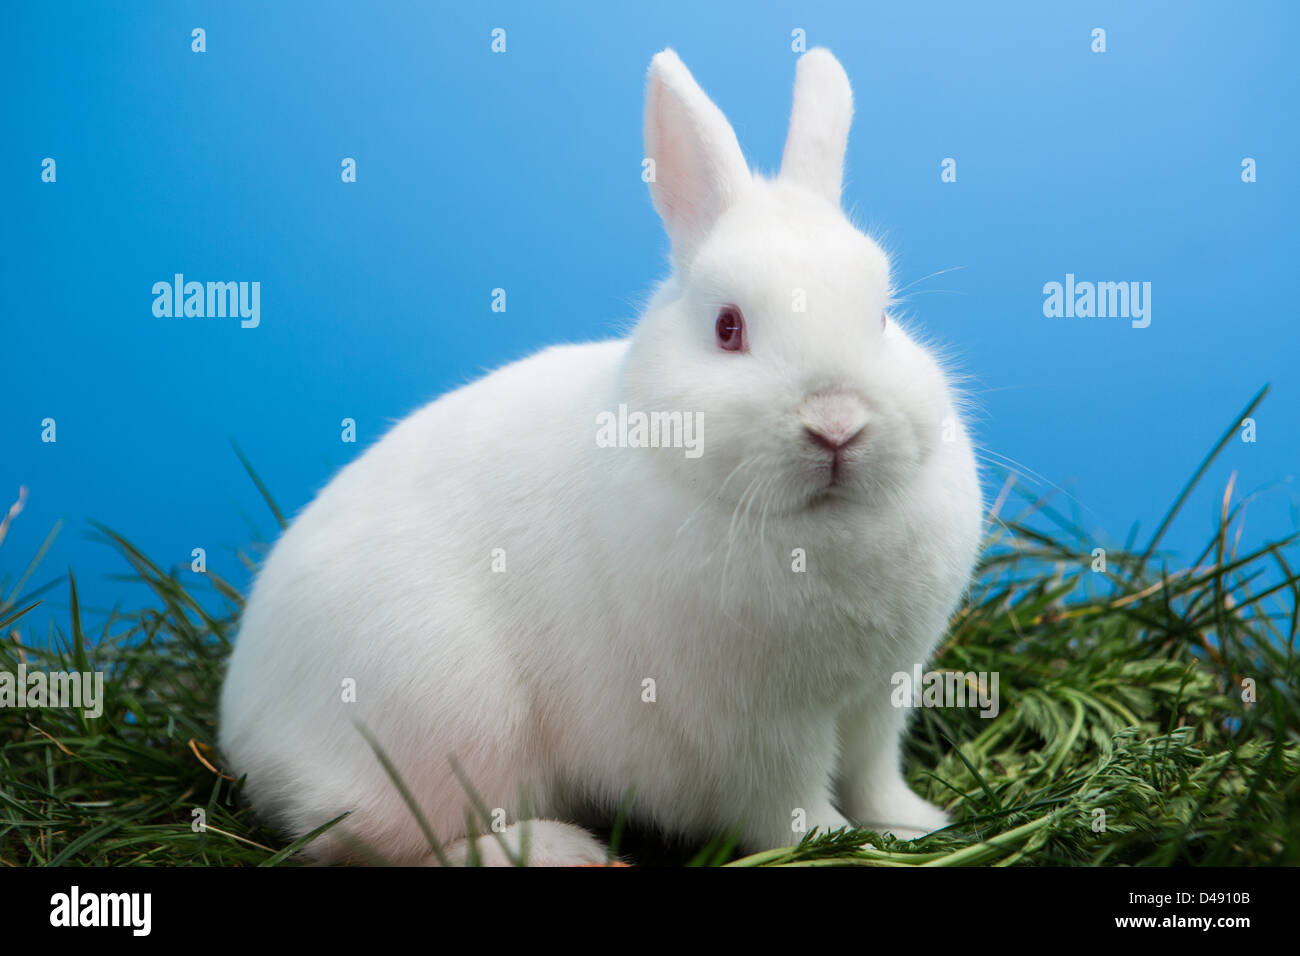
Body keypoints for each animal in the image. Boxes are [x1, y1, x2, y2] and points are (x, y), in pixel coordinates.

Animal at [217, 46, 983, 866]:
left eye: (884, 316)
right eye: (728, 327)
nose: (837, 425)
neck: (819, 523)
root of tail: (246, 730)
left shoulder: (876, 700)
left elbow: (874, 774)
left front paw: (914, 825)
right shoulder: (754, 735)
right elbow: (788, 806)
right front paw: (836, 843)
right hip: (444, 718)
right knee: (385, 840)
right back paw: (562, 848)